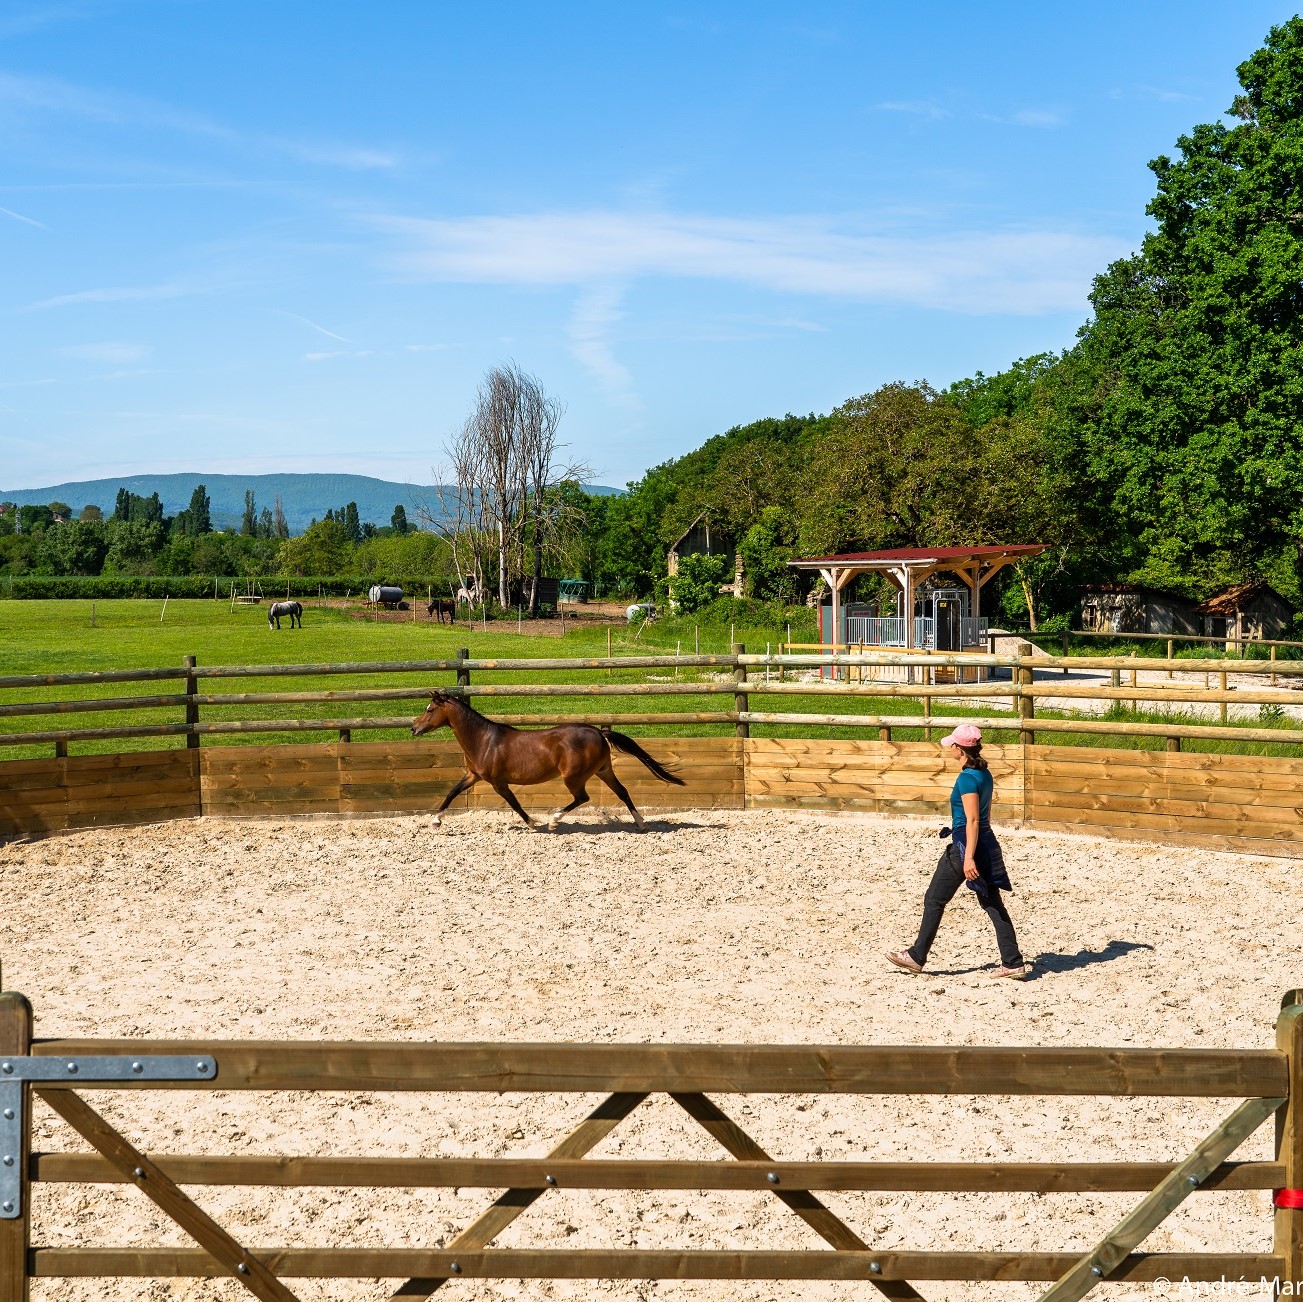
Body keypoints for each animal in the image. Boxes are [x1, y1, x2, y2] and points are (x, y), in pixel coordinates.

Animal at [410, 690, 685, 831]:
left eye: (429, 710)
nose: (413, 728)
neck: (484, 740)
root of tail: (598, 732)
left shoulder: (498, 783)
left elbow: (514, 804)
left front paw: (534, 823)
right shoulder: (473, 776)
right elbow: (451, 792)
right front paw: (435, 820)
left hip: (573, 777)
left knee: (582, 798)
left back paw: (554, 820)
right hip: (604, 770)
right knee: (623, 792)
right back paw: (641, 823)